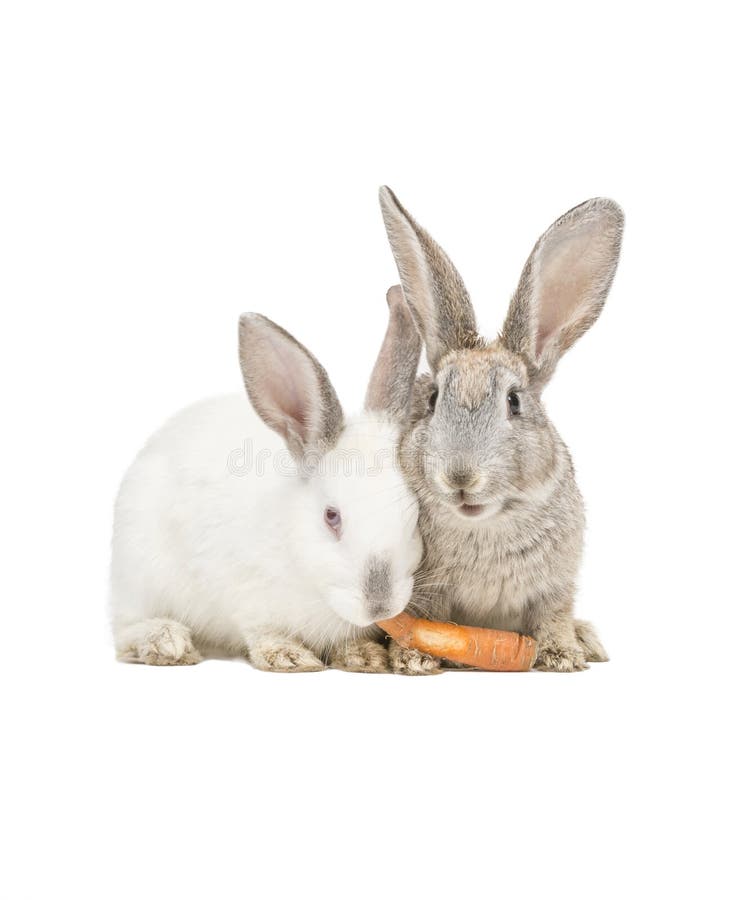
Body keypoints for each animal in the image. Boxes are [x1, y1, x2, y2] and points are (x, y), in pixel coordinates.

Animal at [110, 287, 423, 672]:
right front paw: (289, 656)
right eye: (331, 517)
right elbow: (262, 632)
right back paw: (166, 642)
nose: (380, 606)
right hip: (140, 576)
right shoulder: (244, 594)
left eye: (414, 519)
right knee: (125, 632)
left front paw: (363, 655)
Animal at [379, 187, 624, 672]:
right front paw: (414, 660)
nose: (460, 478)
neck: (486, 525)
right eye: (433, 400)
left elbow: (552, 617)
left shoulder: (555, 587)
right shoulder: (422, 593)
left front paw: (563, 656)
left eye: (514, 401)